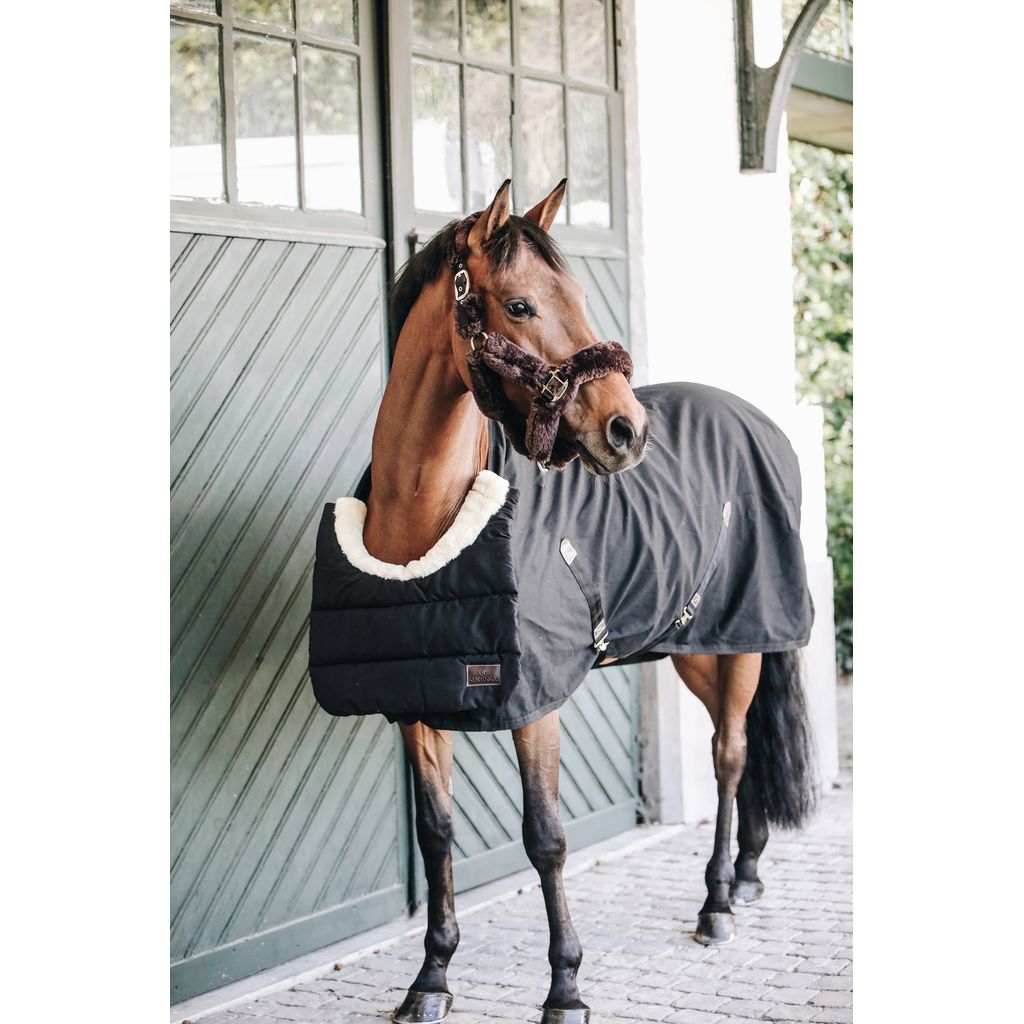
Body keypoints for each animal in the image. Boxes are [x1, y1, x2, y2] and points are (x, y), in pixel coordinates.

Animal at [308, 179, 817, 1024]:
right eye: (519, 305)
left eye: (577, 296)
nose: (626, 430)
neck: (427, 519)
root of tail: (761, 422)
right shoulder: (417, 703)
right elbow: (436, 833)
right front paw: (431, 977)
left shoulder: (535, 703)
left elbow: (545, 837)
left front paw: (566, 987)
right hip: (691, 647)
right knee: (732, 746)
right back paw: (745, 876)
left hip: (743, 638)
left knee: (731, 755)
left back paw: (717, 901)